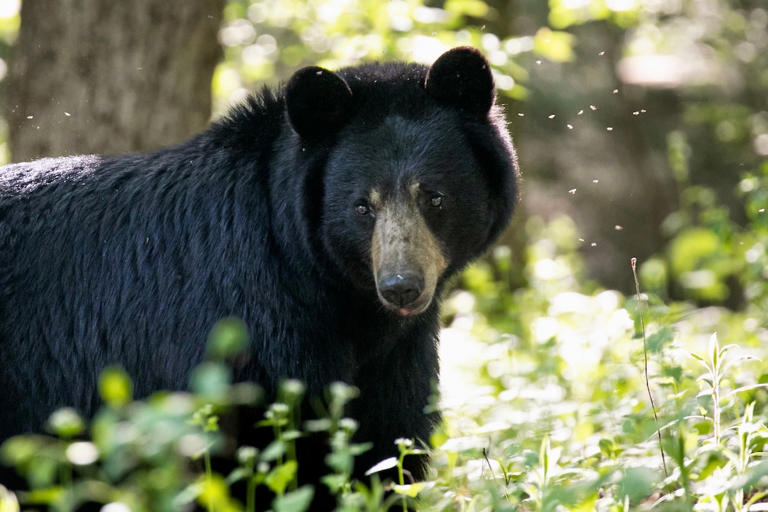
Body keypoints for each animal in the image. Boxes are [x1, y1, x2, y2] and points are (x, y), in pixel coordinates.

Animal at [0, 46, 518, 503]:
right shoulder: (241, 326)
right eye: (362, 205)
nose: (401, 286)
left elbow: (388, 444)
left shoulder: (396, 355)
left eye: (434, 196)